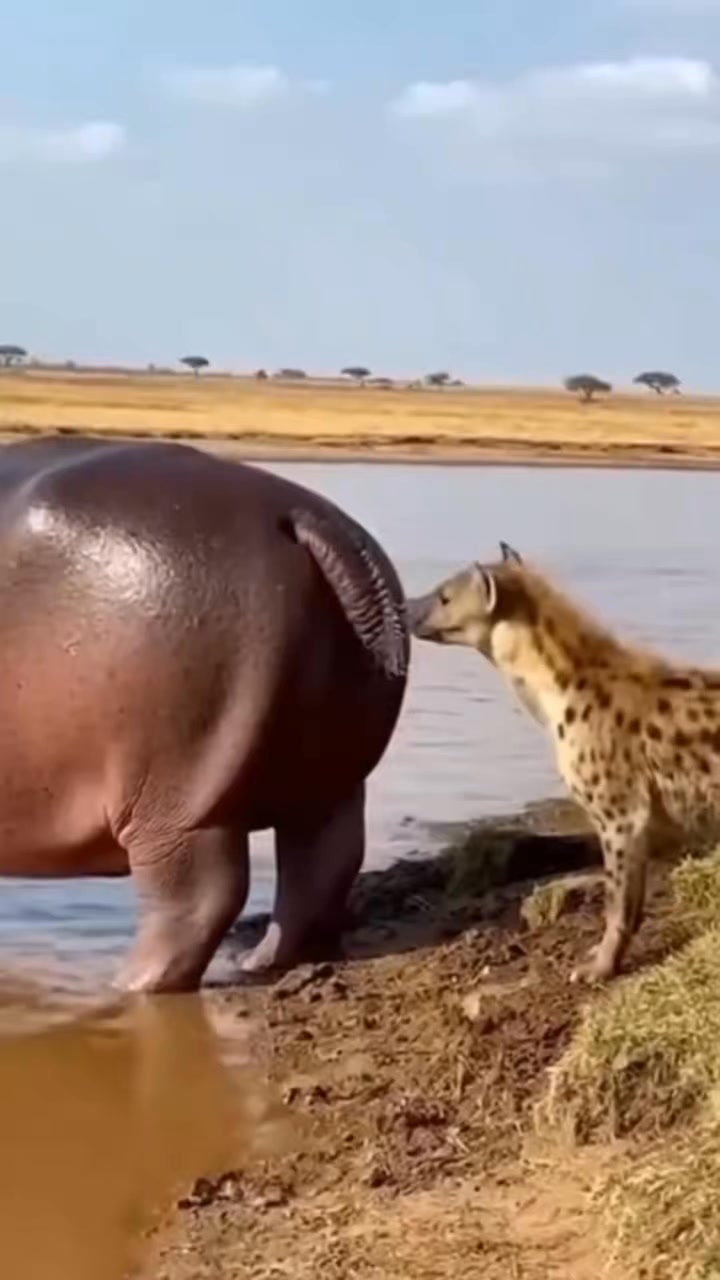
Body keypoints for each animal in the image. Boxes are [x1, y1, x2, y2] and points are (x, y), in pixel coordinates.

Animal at [0, 435, 409, 992]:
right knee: (324, 864)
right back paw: (261, 962)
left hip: (174, 800)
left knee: (198, 900)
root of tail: (297, 514)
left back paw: (127, 984)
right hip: (330, 775)